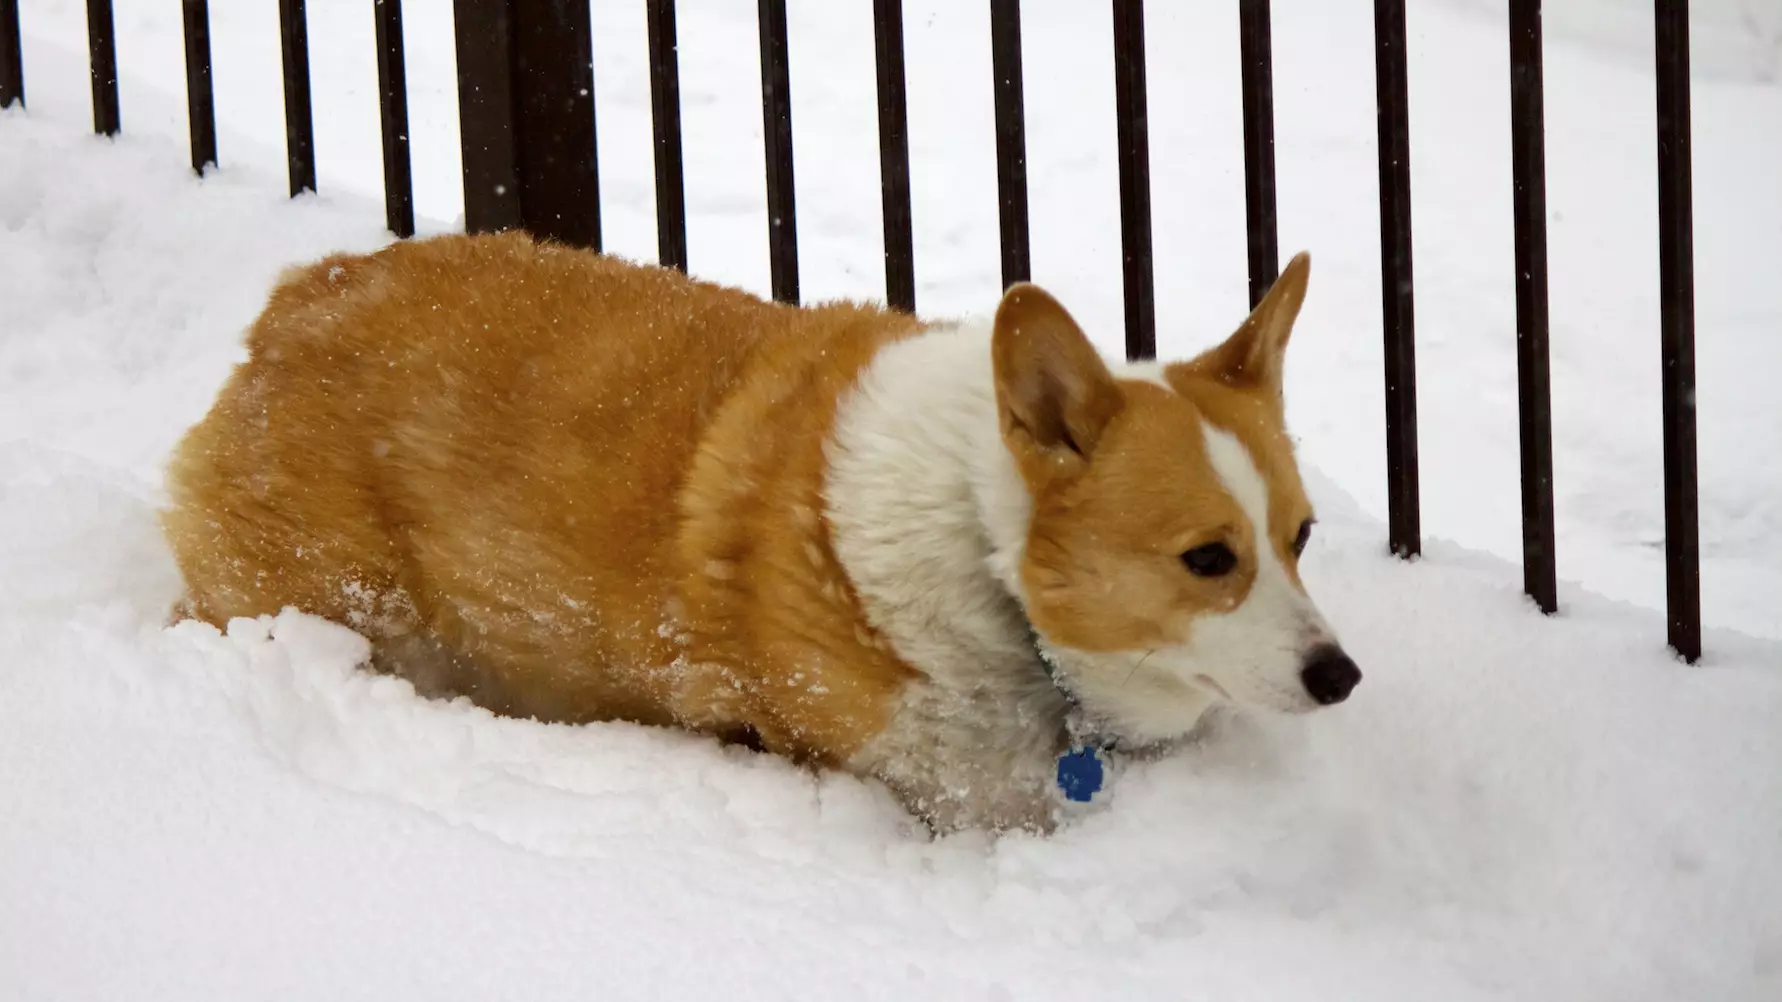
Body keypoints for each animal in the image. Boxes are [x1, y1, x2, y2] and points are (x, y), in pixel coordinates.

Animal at [170, 231, 1361, 827]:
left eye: (1302, 537)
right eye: (1208, 559)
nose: (1341, 678)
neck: (992, 564)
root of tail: (297, 296)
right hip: (326, 599)